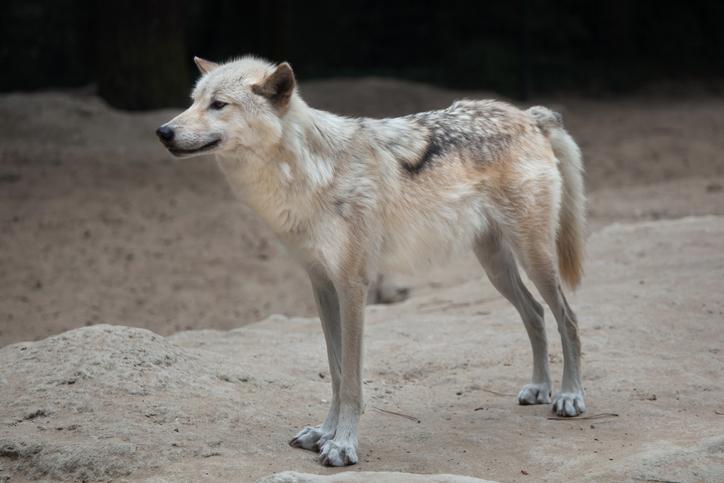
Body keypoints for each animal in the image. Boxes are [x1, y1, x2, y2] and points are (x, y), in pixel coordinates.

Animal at [157, 55, 587, 467]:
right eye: (193, 101)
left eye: (218, 104)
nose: (163, 132)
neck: (310, 175)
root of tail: (529, 115)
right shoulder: (322, 284)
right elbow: (335, 371)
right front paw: (324, 433)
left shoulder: (352, 285)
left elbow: (351, 381)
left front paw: (342, 445)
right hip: (496, 267)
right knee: (535, 313)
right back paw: (540, 387)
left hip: (534, 258)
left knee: (567, 317)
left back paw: (569, 396)